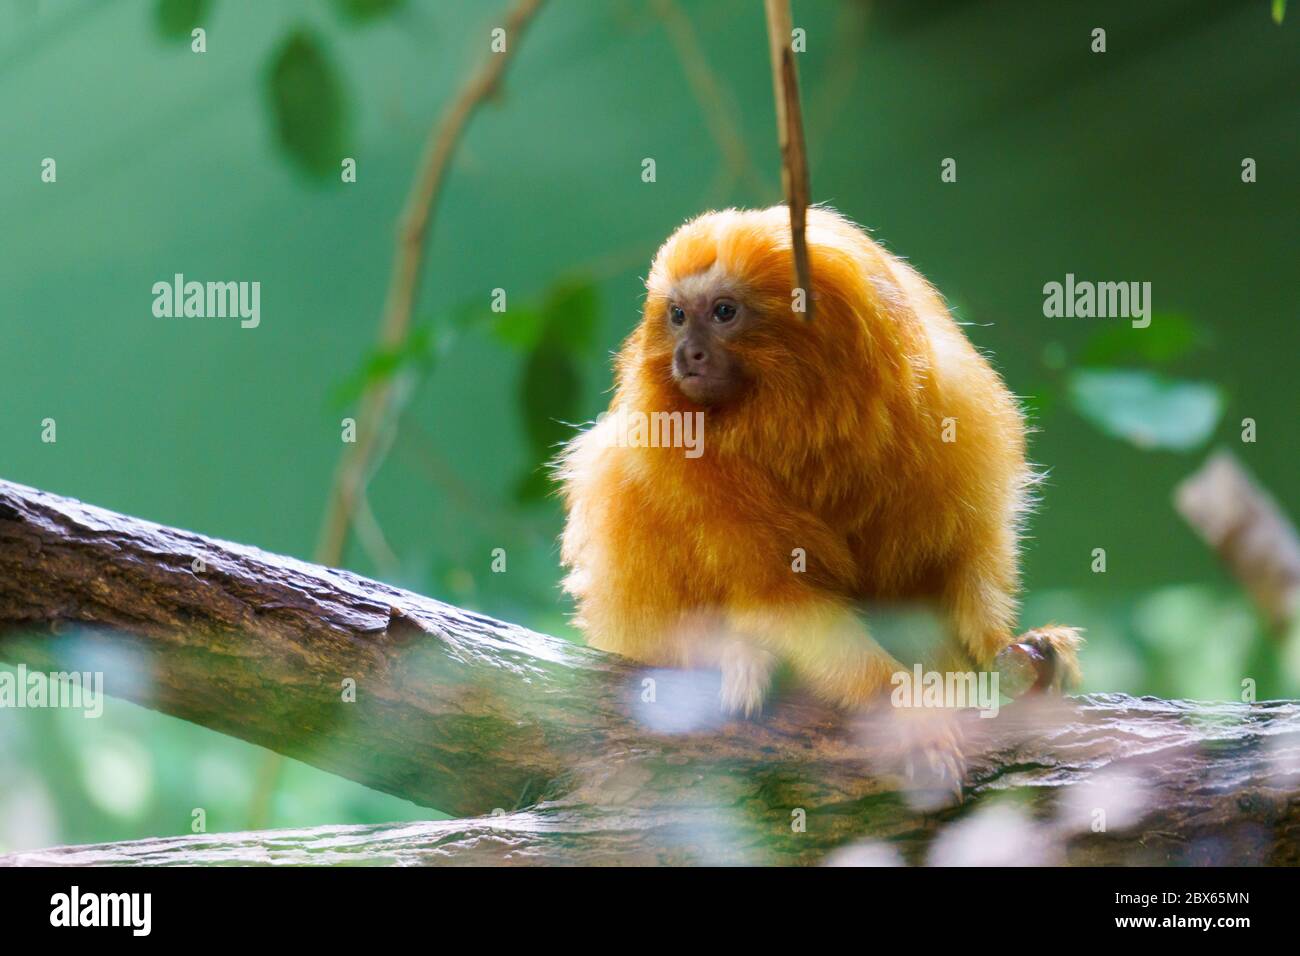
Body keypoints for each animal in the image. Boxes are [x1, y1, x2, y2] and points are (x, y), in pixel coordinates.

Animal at [557, 205, 1080, 788]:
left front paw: (1013, 650)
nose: (686, 355)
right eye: (676, 315)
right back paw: (728, 656)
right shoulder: (681, 459)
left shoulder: (948, 410)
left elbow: (964, 561)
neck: (800, 416)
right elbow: (782, 598)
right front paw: (907, 712)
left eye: (722, 312)